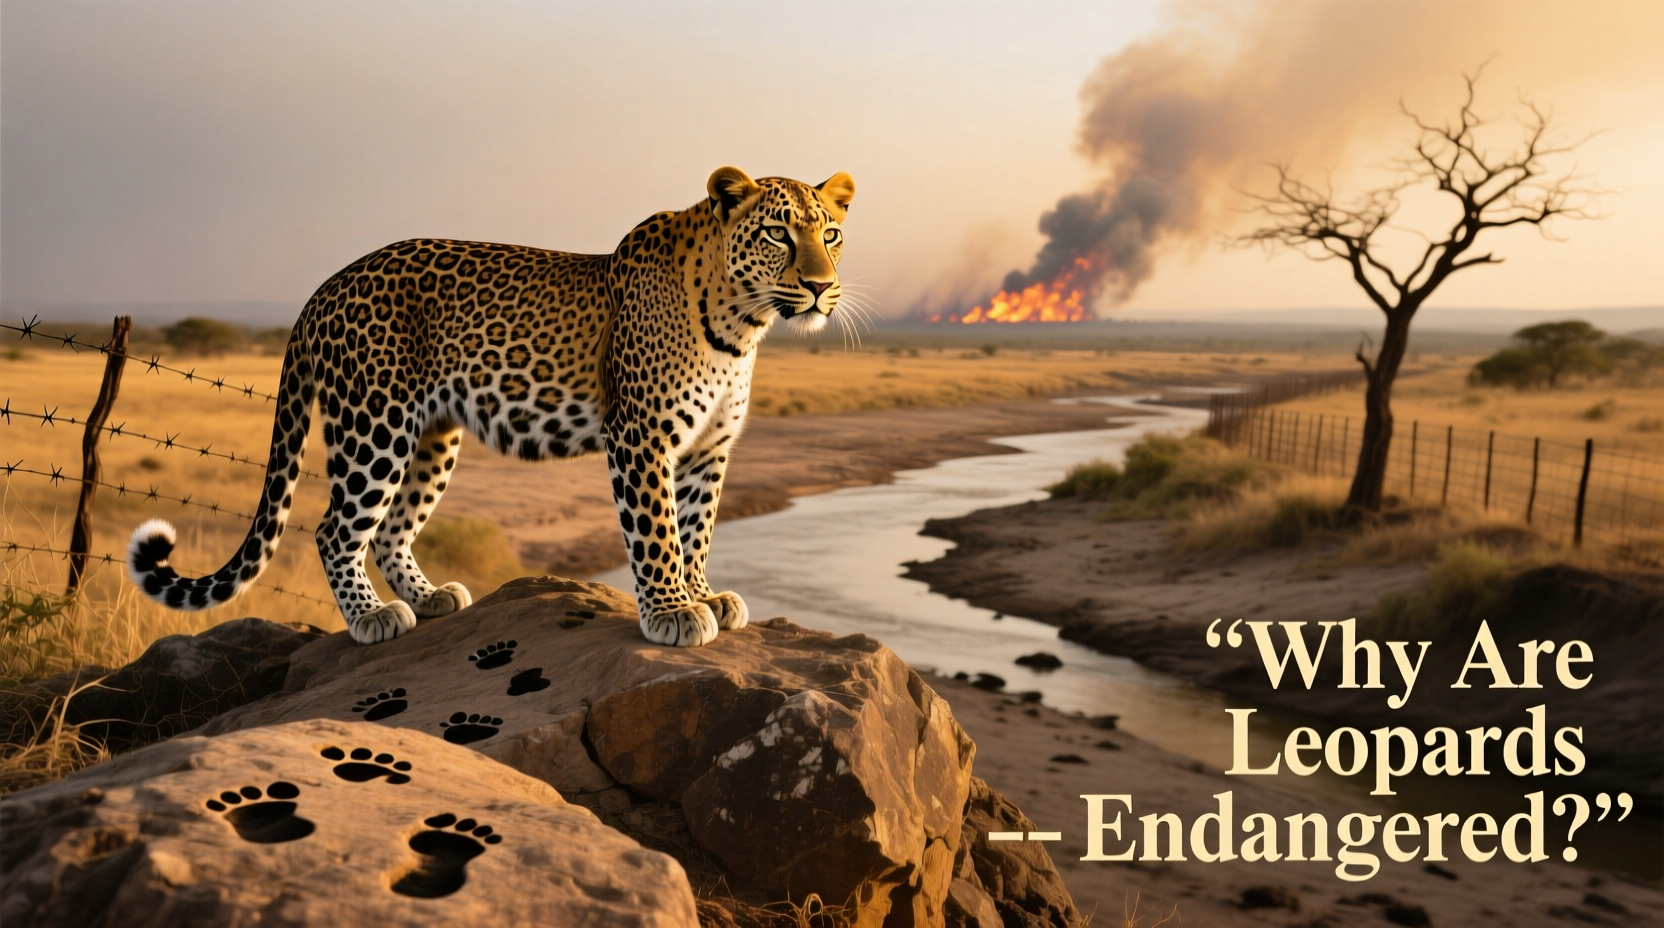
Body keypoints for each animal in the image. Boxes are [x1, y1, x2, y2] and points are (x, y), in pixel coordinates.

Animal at [127, 166, 855, 648]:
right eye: (778, 235)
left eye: (831, 235)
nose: (822, 287)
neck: (742, 324)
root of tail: (324, 288)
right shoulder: (641, 437)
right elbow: (658, 532)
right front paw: (672, 612)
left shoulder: (708, 449)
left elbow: (697, 528)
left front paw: (702, 594)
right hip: (374, 425)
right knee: (336, 528)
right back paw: (370, 617)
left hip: (432, 436)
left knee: (389, 530)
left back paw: (430, 598)